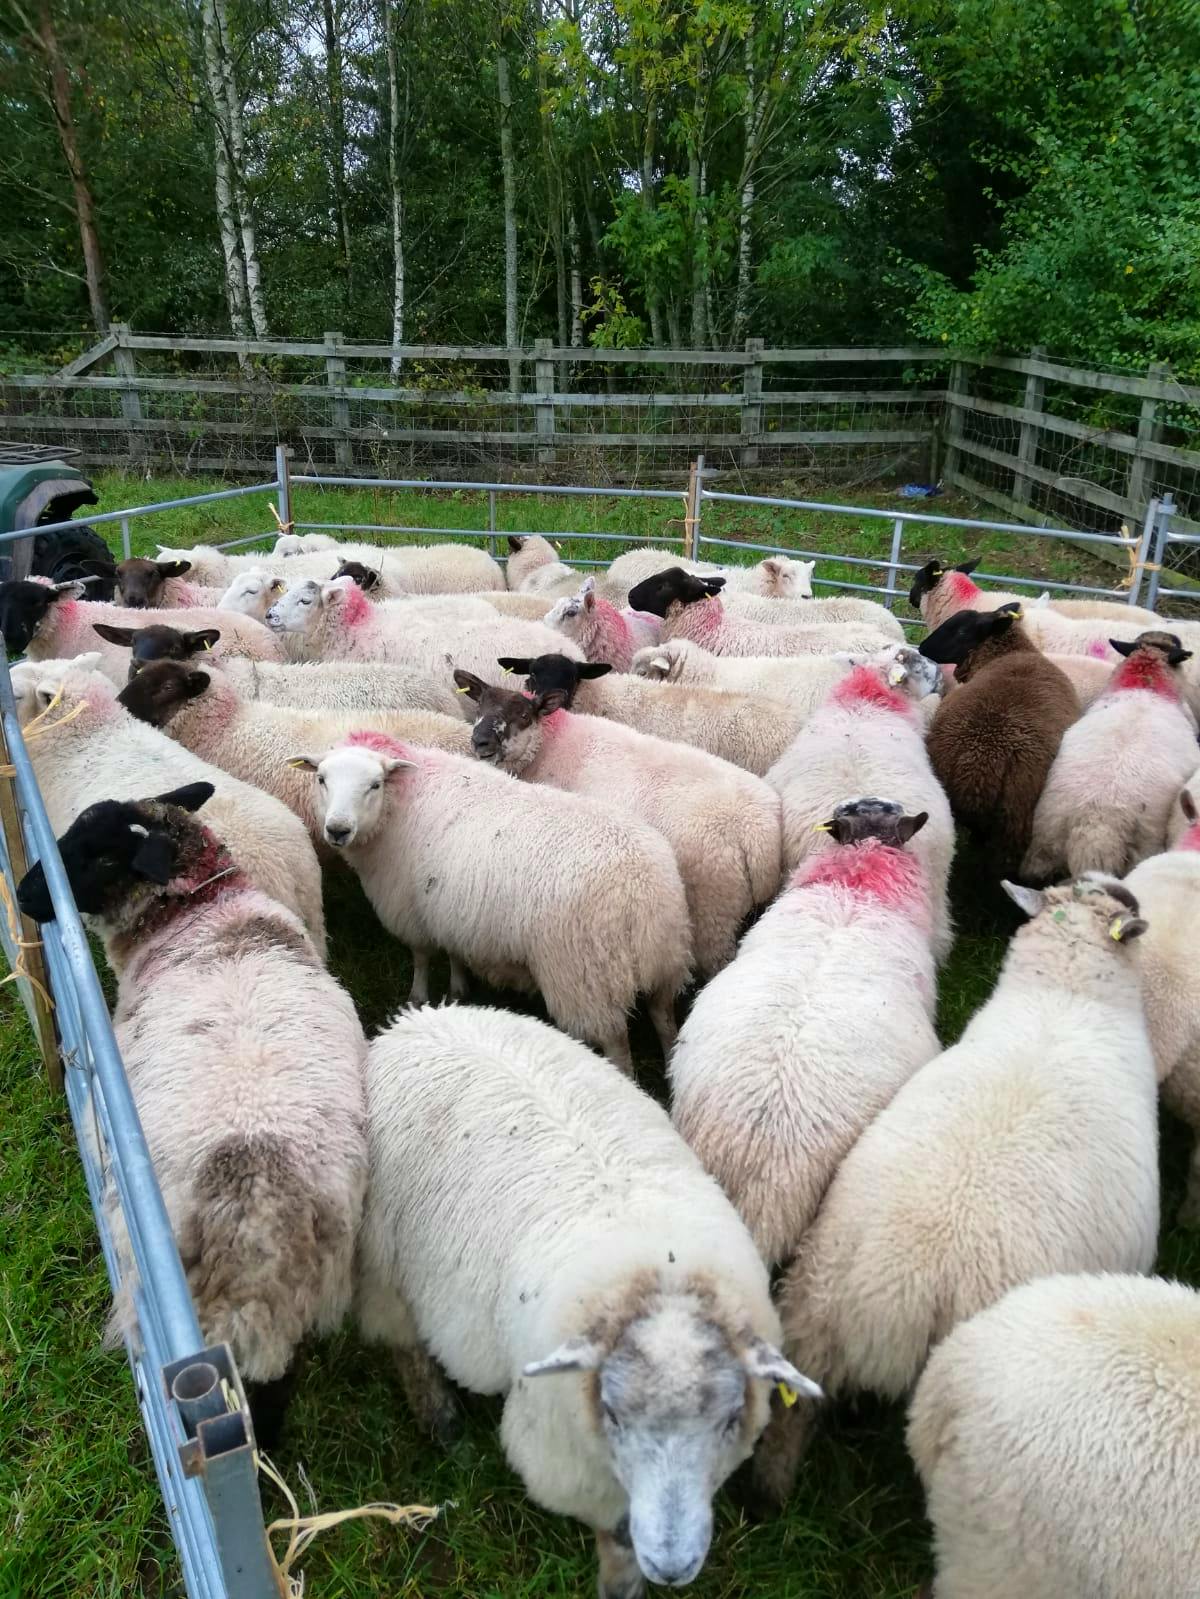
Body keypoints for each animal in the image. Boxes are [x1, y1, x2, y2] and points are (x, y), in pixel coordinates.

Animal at [295, 736, 693, 1072]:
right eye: (322, 779)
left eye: (375, 785)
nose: (338, 830)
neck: (398, 807)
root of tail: (643, 891)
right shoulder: (450, 911)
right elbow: (453, 954)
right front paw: (457, 990)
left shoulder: (410, 909)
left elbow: (421, 957)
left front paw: (416, 999)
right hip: (665, 965)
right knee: (665, 1022)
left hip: (587, 978)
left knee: (617, 1046)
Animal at [355, 1002, 820, 1599]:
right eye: (613, 1416)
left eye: (730, 1419)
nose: (672, 1565)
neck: (659, 1271)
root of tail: (414, 1020)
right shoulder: (568, 1455)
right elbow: (617, 1539)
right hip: (384, 1262)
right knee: (405, 1345)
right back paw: (443, 1424)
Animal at [454, 668, 782, 977]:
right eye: (480, 705)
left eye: (523, 715)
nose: (480, 742)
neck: (546, 744)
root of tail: (757, 832)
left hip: (714, 907)